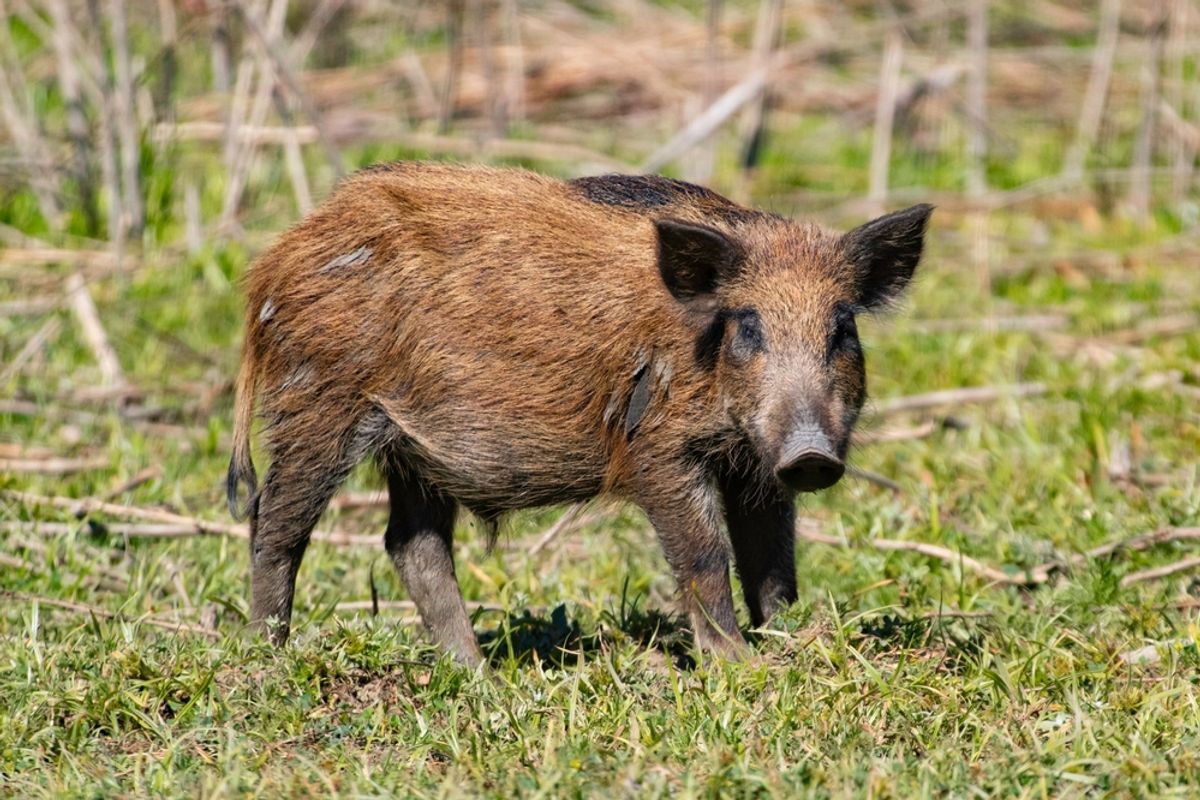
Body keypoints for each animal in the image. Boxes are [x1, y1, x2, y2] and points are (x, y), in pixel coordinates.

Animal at [227, 162, 931, 665]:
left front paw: (791, 643)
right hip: (319, 406)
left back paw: (476, 672)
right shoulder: (659, 451)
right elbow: (704, 555)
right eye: (749, 326)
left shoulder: (756, 465)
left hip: (412, 449)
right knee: (275, 525)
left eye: (842, 328)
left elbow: (773, 559)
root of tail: (273, 262)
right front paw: (740, 666)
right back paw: (269, 658)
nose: (811, 453)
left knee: (411, 544)